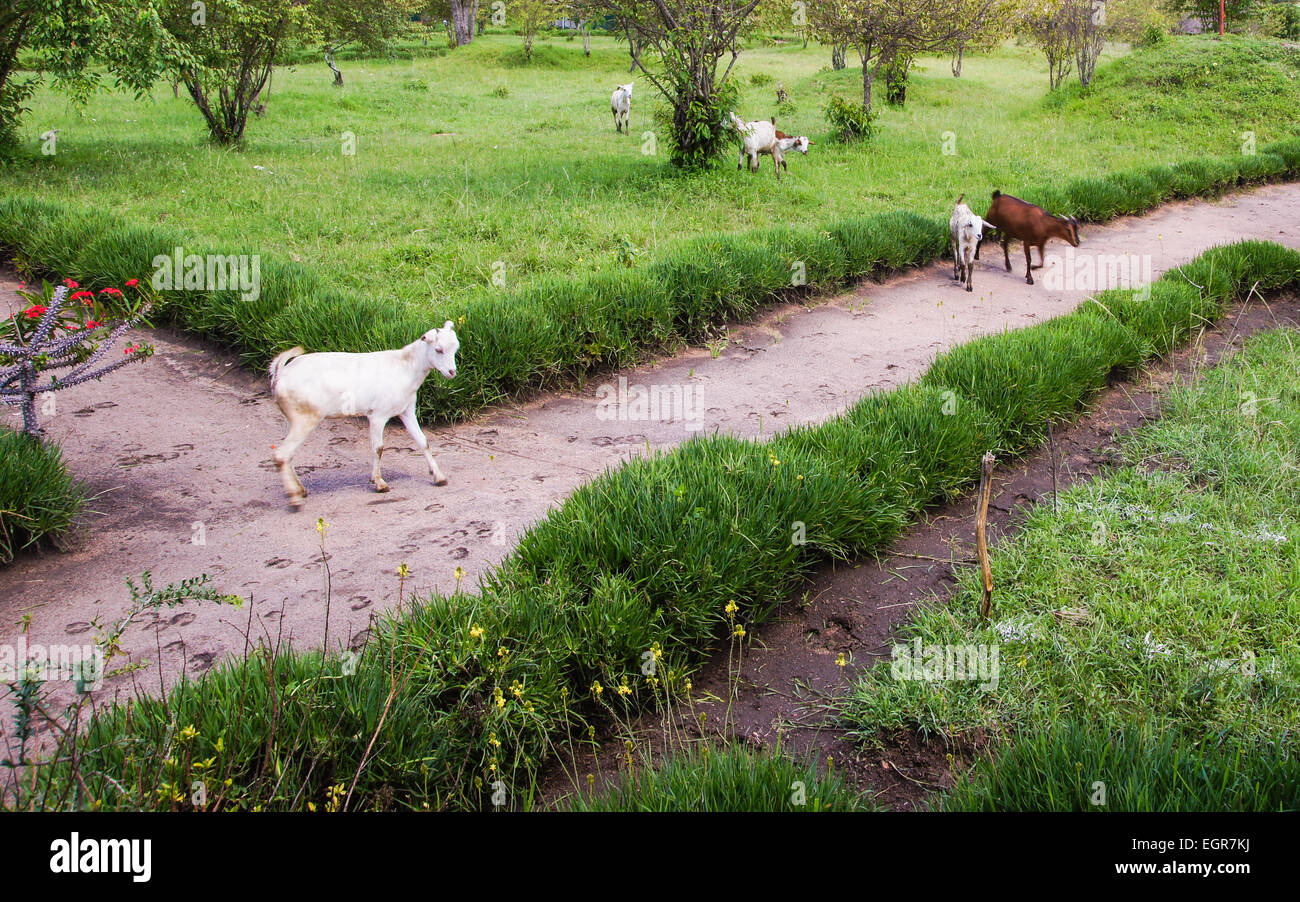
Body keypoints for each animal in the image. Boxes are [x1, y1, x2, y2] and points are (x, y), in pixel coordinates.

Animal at [268, 322, 460, 507]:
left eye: (455, 348)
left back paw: (300, 490)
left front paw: (439, 477)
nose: (452, 372)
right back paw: (295, 499)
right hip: (306, 418)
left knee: (289, 454)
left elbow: (422, 441)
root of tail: (281, 373)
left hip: (295, 418)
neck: (404, 367)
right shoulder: (378, 415)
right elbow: (378, 447)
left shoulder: (406, 411)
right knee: (282, 454)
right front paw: (380, 483)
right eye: (438, 349)